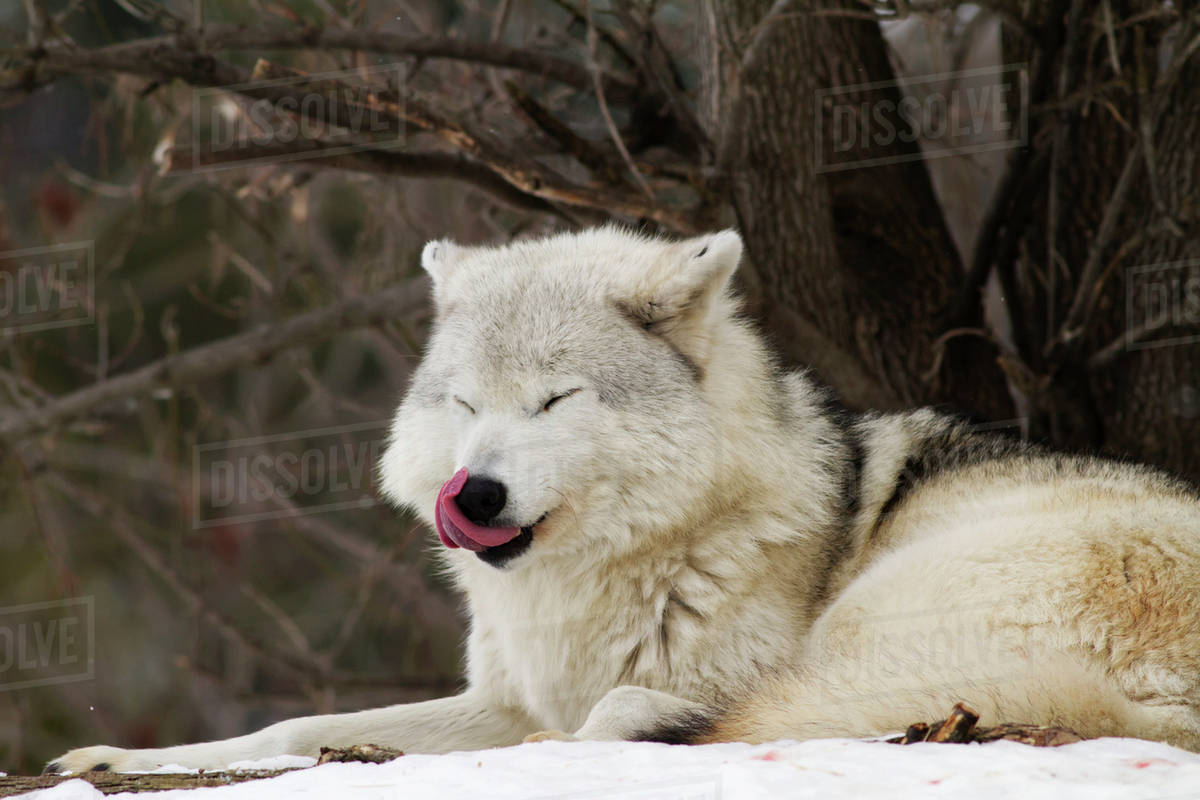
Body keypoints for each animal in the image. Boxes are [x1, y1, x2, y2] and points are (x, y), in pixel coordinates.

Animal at [49, 226, 1200, 773]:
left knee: (653, 725)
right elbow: (293, 725)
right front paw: (114, 758)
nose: (474, 490)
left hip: (882, 617)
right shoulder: (508, 696)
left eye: (557, 399)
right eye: (466, 403)